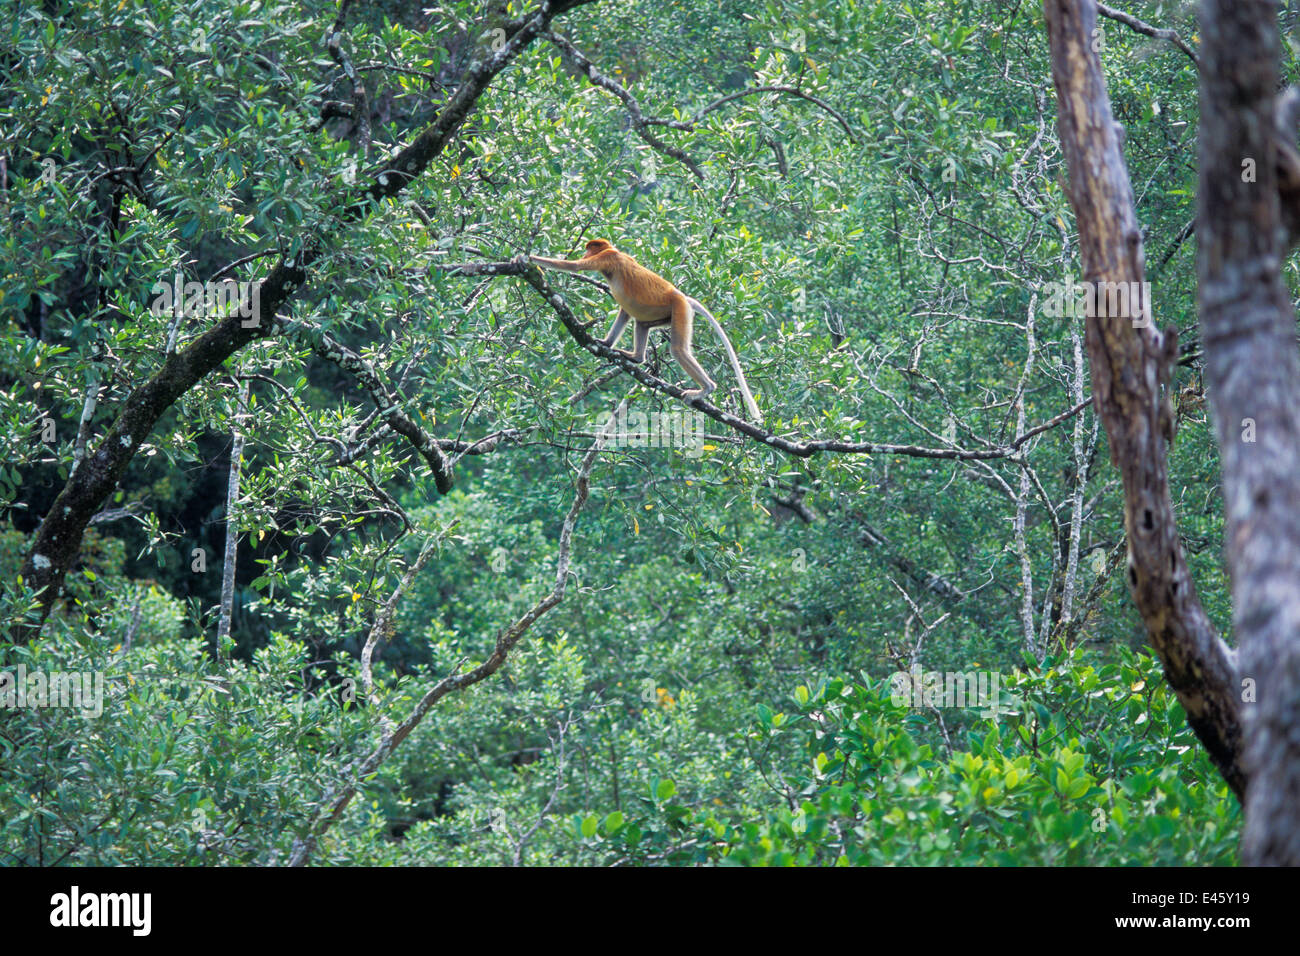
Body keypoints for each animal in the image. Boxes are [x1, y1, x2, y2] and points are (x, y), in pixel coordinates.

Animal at [526, 239, 761, 420]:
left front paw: (526, 258)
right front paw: (605, 343)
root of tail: (683, 297)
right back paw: (636, 357)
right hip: (665, 314)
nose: (585, 252)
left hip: (679, 309)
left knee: (678, 350)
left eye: (590, 248)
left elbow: (574, 267)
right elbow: (625, 312)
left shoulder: (607, 257)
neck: (615, 251)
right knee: (641, 324)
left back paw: (705, 389)